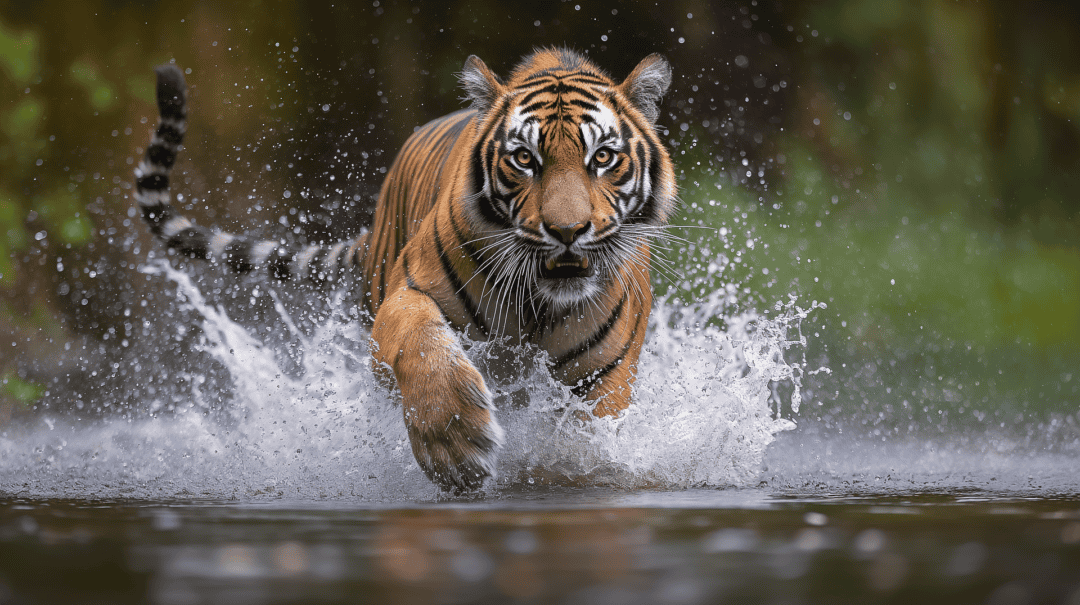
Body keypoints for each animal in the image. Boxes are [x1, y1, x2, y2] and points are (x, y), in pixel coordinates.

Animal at [133, 48, 677, 491]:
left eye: (602, 157)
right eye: (524, 158)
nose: (567, 231)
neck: (537, 303)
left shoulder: (603, 379)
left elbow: (585, 443)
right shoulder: (408, 294)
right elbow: (419, 343)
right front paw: (455, 446)